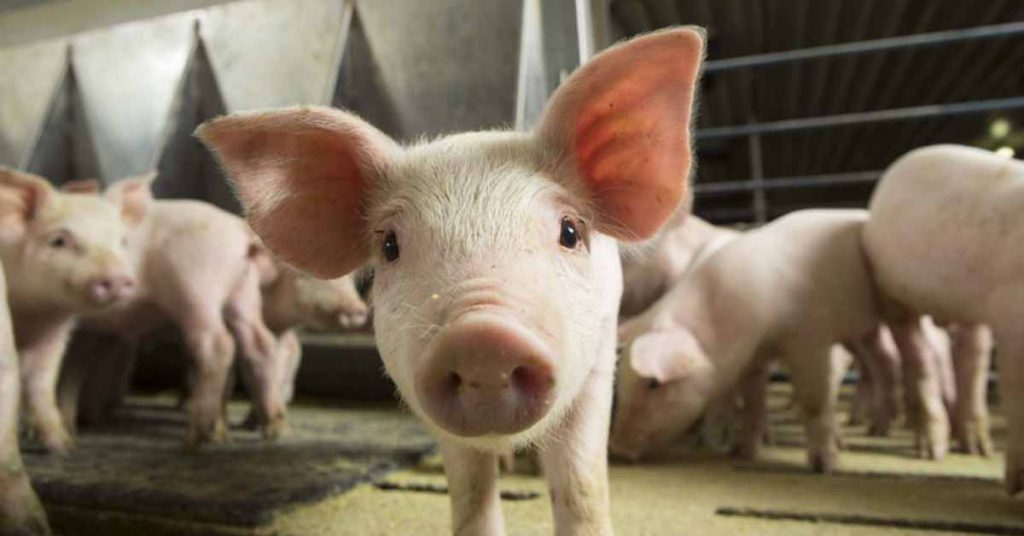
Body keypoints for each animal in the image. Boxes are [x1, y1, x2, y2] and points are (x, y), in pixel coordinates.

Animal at [0, 169, 136, 455]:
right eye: (59, 240)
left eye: (122, 241)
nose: (117, 278)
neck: (33, 312)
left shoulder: (55, 331)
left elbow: (42, 381)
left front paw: (64, 446)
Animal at [56, 176, 286, 446]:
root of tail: (240, 231)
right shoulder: (85, 331)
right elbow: (72, 369)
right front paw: (68, 430)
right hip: (244, 293)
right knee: (260, 343)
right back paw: (273, 428)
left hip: (197, 289)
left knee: (216, 344)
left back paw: (198, 435)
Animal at [198, 27, 706, 535]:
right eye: (390, 246)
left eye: (570, 231)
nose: (483, 338)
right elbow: (471, 491)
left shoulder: (599, 360)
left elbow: (581, 483)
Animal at [610, 210, 891, 472]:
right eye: (620, 382)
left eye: (653, 384)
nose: (619, 449)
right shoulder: (754, 358)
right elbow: (753, 403)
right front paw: (741, 453)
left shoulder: (809, 339)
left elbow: (814, 399)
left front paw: (824, 465)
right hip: (861, 333)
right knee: (878, 364)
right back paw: (878, 424)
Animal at [863, 145, 1010, 484]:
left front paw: (980, 453)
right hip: (893, 293)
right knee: (919, 357)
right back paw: (929, 451)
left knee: (969, 359)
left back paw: (974, 447)